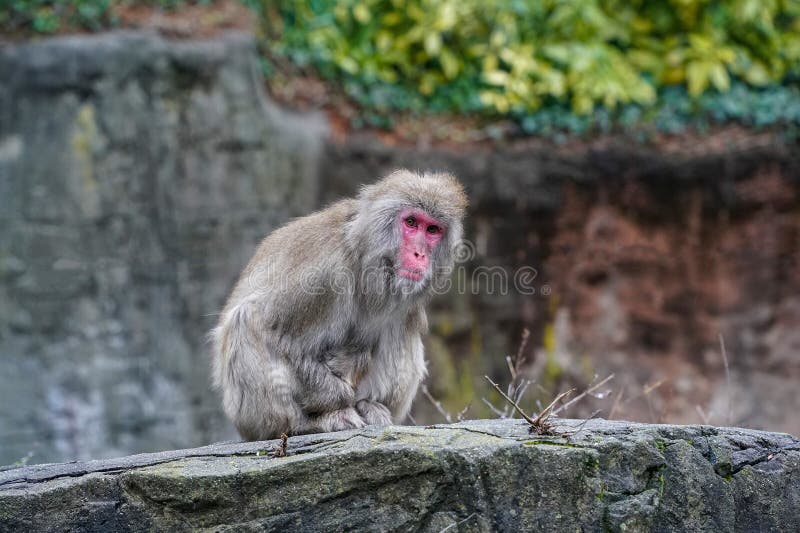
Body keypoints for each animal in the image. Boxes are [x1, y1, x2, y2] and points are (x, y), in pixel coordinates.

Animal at [211, 169, 467, 440]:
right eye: (411, 222)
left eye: (432, 229)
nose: (420, 254)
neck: (364, 257)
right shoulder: (322, 275)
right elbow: (268, 328)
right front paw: (340, 398)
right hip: (250, 418)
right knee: (243, 320)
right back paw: (304, 425)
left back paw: (368, 405)